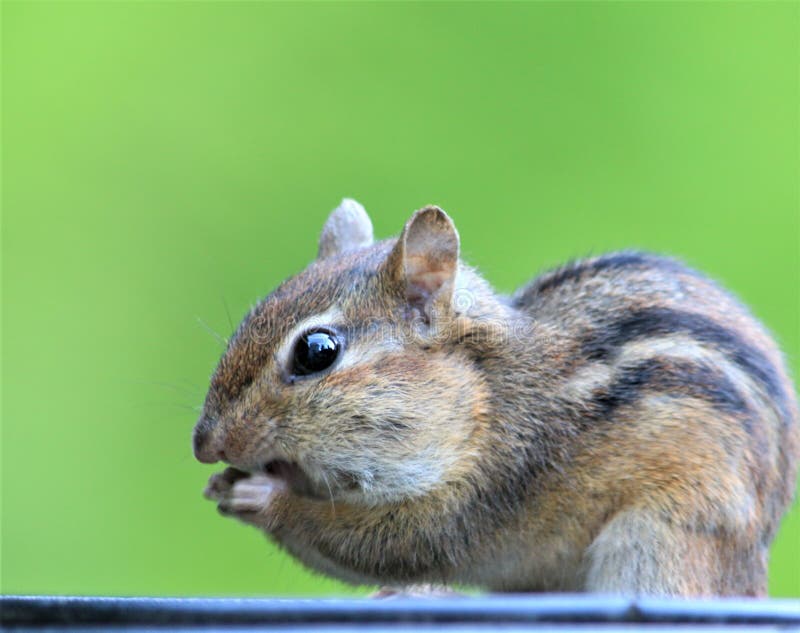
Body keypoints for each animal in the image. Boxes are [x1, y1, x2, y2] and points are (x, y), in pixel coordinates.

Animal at [194, 199, 799, 596]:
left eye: (316, 351)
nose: (205, 445)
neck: (486, 393)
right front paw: (226, 482)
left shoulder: (498, 478)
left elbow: (396, 543)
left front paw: (263, 497)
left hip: (661, 542)